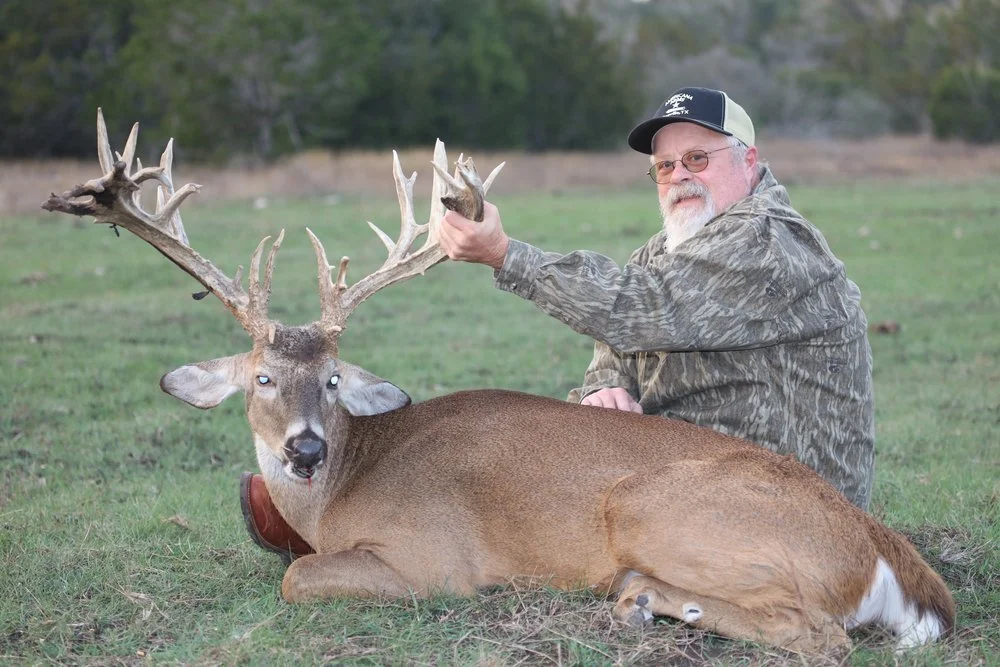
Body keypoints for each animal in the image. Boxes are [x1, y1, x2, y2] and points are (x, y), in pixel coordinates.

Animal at [43, 110, 955, 655]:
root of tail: (887, 552)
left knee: (822, 636)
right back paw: (645, 599)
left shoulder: (428, 557)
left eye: (333, 380)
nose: (302, 450)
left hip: (658, 505)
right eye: (261, 376)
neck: (339, 493)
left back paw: (655, 603)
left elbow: (295, 576)